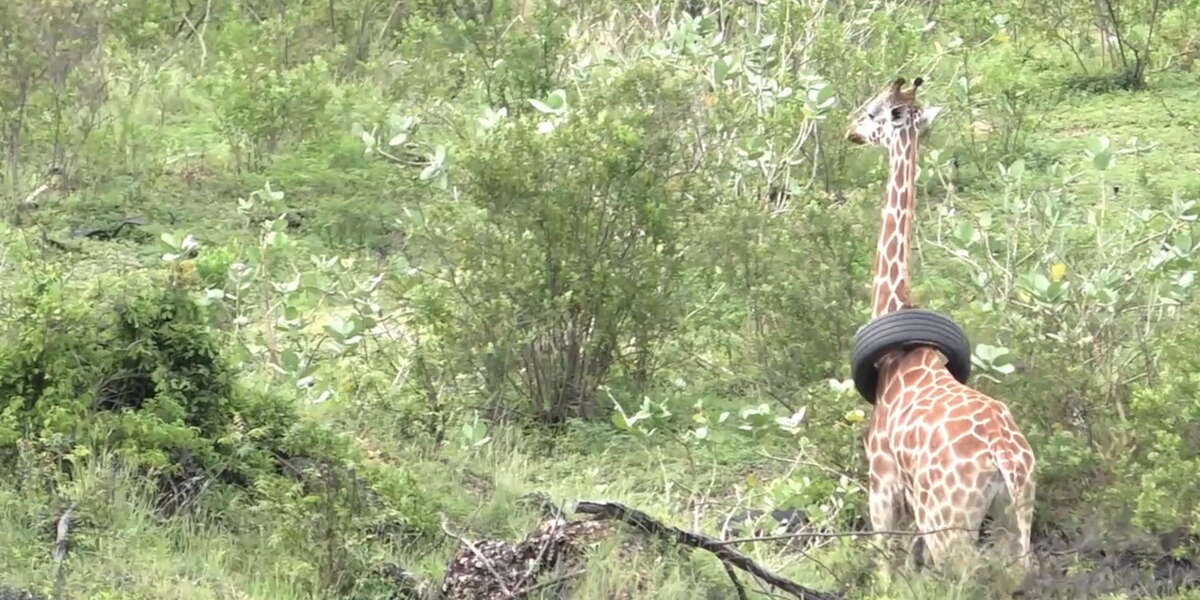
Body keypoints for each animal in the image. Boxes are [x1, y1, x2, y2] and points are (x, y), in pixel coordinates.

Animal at [845, 77, 1036, 572]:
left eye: (872, 112)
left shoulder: (882, 484)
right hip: (1014, 516)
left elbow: (886, 570)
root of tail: (1006, 455)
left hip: (948, 521)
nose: (850, 131)